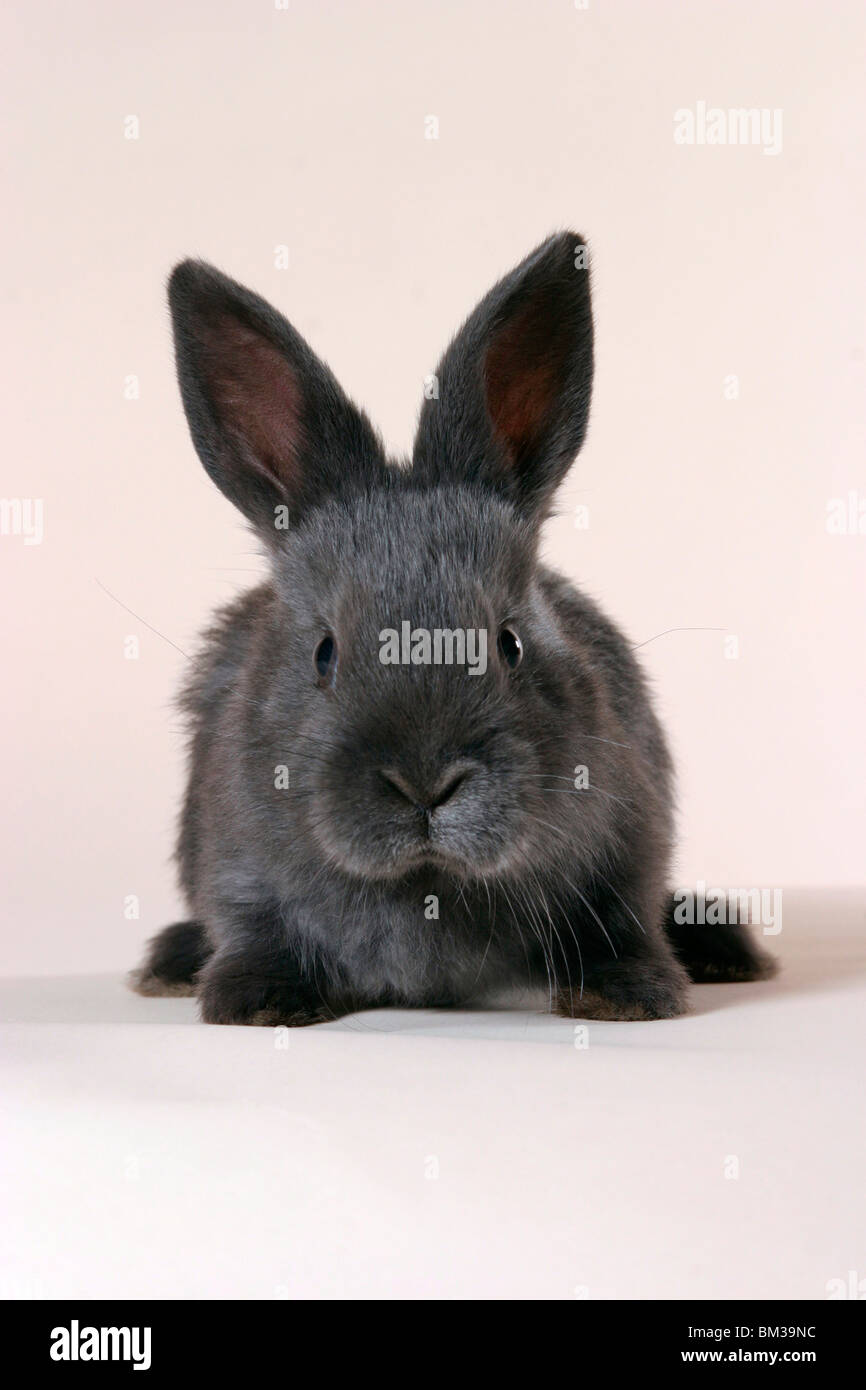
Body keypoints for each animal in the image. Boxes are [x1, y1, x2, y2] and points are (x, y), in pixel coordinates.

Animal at [130, 232, 776, 1025]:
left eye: (510, 642)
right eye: (324, 652)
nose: (425, 784)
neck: (427, 885)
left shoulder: (630, 845)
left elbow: (617, 922)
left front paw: (626, 995)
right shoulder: (233, 864)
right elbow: (255, 924)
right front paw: (259, 1000)